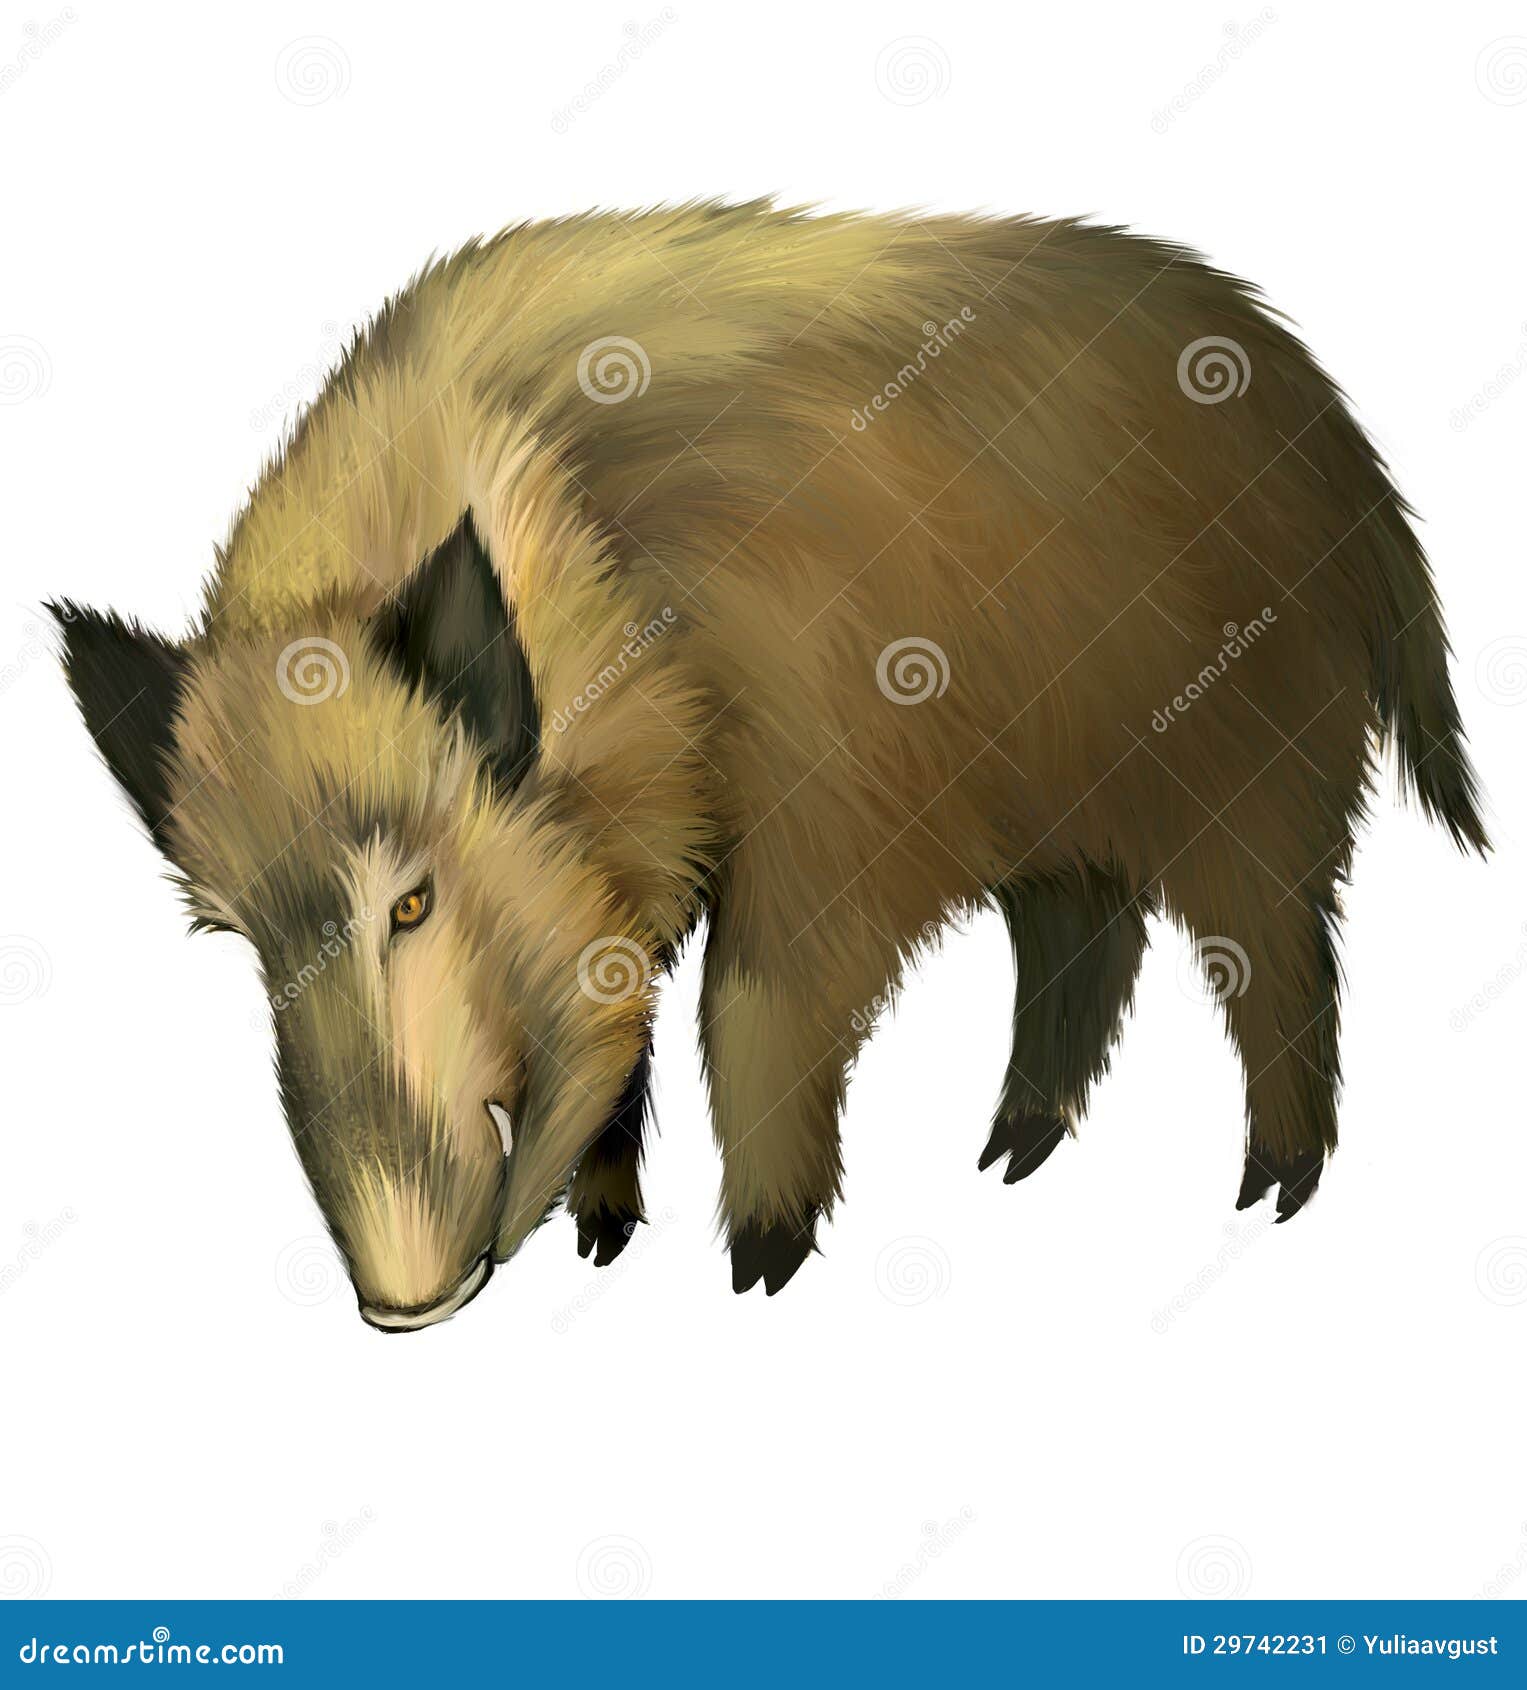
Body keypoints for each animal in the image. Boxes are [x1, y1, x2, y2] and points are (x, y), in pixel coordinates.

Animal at [53, 203, 1487, 1329]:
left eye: (412, 897)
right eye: (241, 937)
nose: (402, 1307)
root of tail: (1351, 460)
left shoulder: (826, 841)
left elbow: (745, 1018)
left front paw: (757, 1269)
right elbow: (629, 1031)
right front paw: (607, 1241)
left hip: (1256, 783)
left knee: (1275, 964)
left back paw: (1269, 1190)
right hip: (1072, 818)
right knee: (1088, 942)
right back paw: (1005, 1160)